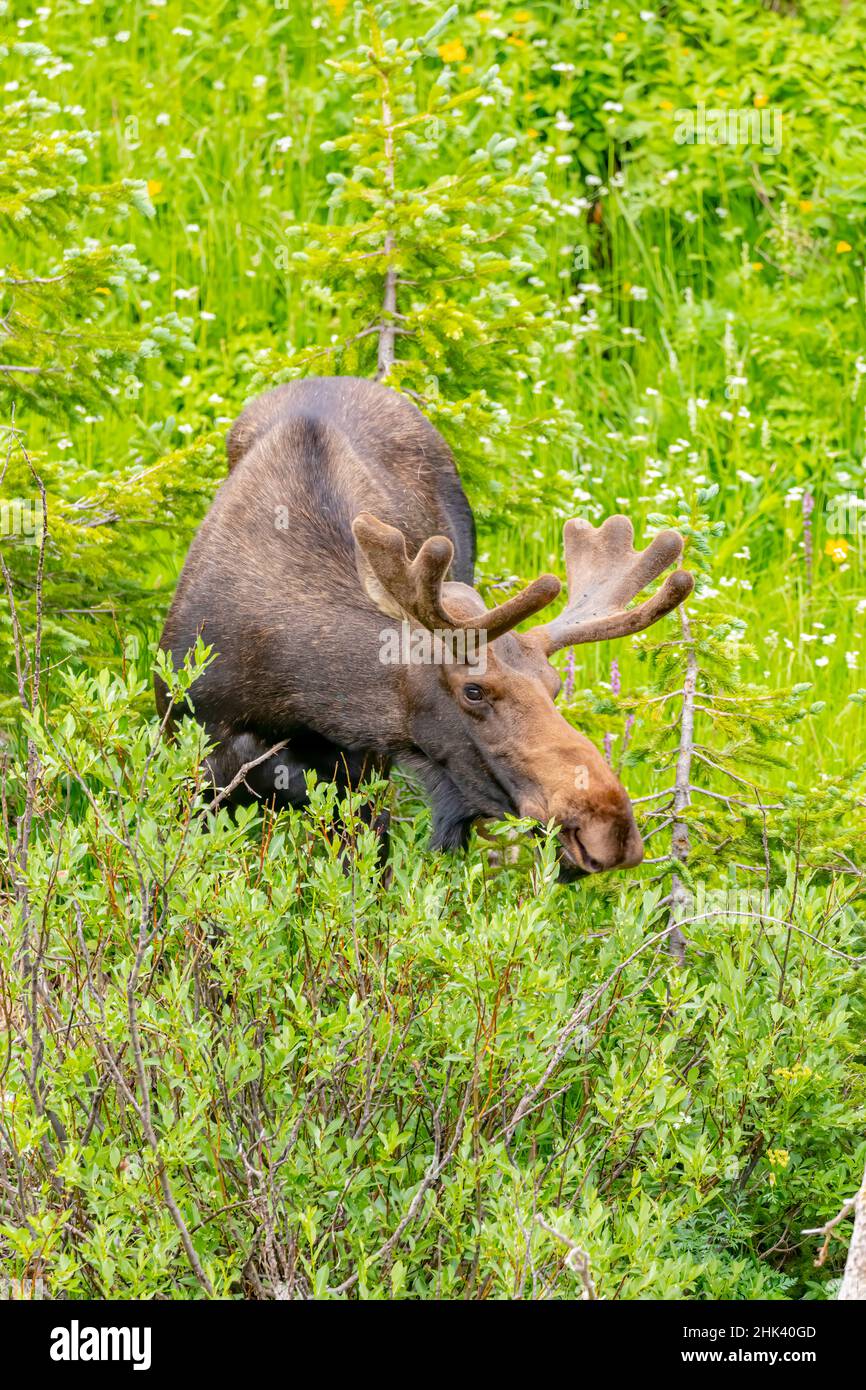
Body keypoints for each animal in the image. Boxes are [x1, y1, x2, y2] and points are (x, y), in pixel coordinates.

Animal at [156, 376, 693, 879]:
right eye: (473, 690)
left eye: (555, 686)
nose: (610, 829)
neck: (285, 694)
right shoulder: (190, 767)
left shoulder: (361, 783)